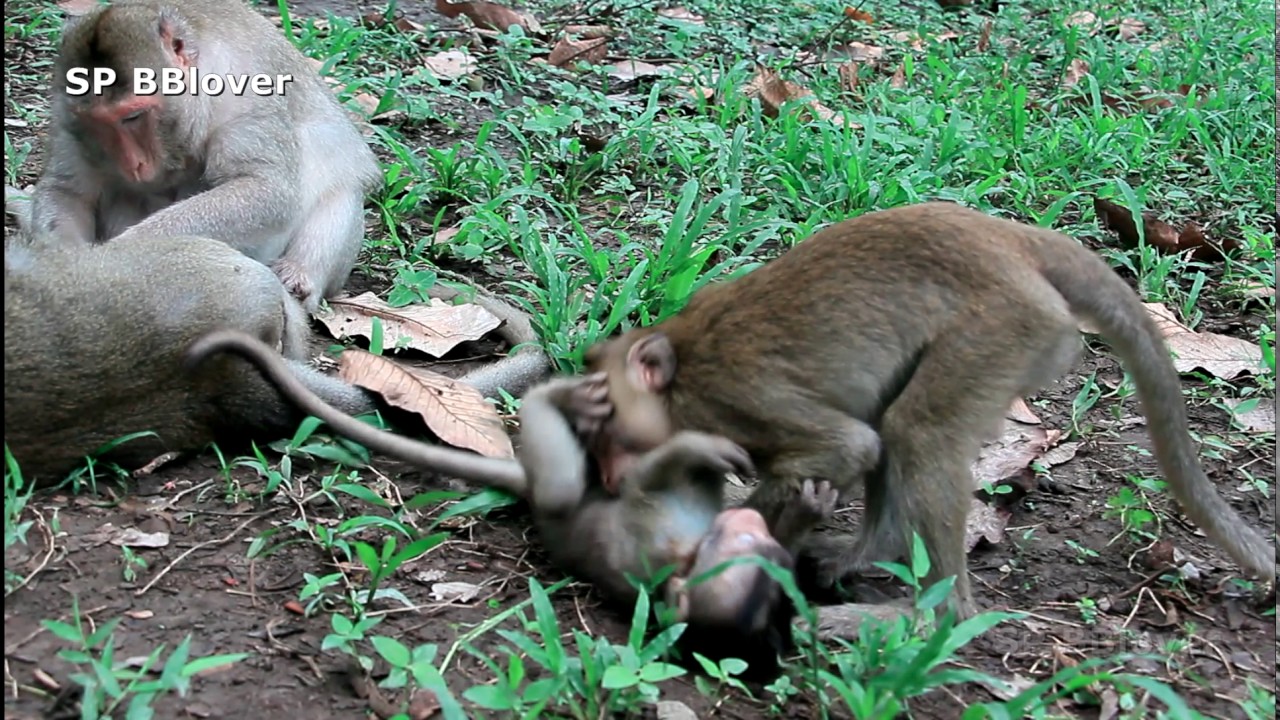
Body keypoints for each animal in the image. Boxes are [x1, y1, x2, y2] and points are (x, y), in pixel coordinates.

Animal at [28, 0, 382, 311]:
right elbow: (68, 190)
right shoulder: (64, 109)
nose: (134, 165)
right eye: (95, 123)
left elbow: (267, 191)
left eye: (132, 117)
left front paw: (122, 253)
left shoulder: (245, 90)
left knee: (340, 195)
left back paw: (299, 275)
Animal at [184, 330, 839, 669]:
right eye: (751, 542)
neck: (693, 555)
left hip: (556, 496)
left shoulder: (658, 542)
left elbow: (652, 482)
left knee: (564, 486)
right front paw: (797, 505)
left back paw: (554, 399)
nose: (750, 522)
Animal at [583, 201, 1276, 619]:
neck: (679, 365)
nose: (605, 475)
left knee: (915, 432)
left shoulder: (731, 399)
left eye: (606, 422)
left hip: (1004, 328)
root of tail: (1017, 241)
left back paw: (930, 618)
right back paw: (872, 556)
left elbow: (850, 446)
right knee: (898, 425)